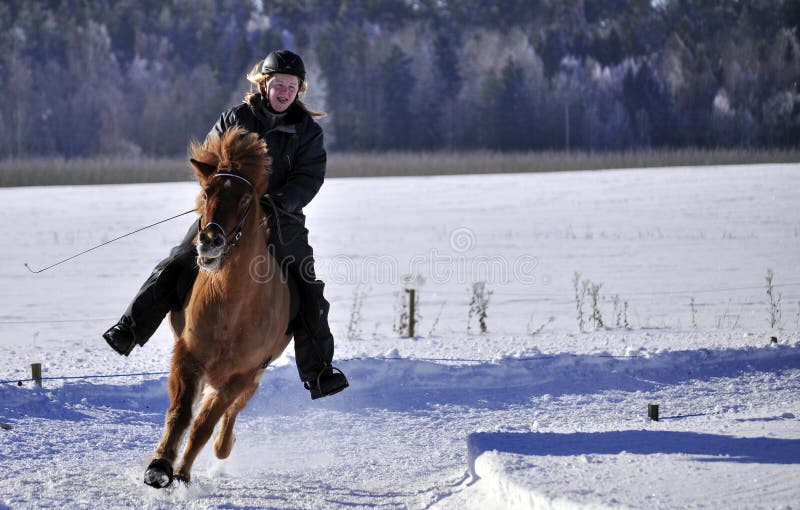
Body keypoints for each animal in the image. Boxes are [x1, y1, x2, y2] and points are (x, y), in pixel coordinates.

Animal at [143, 126, 293, 488]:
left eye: (245, 199)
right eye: (206, 191)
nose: (210, 242)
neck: (231, 308)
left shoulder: (240, 373)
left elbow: (204, 424)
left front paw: (182, 473)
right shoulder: (188, 356)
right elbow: (181, 414)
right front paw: (160, 466)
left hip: (251, 377)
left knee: (231, 411)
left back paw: (223, 445)